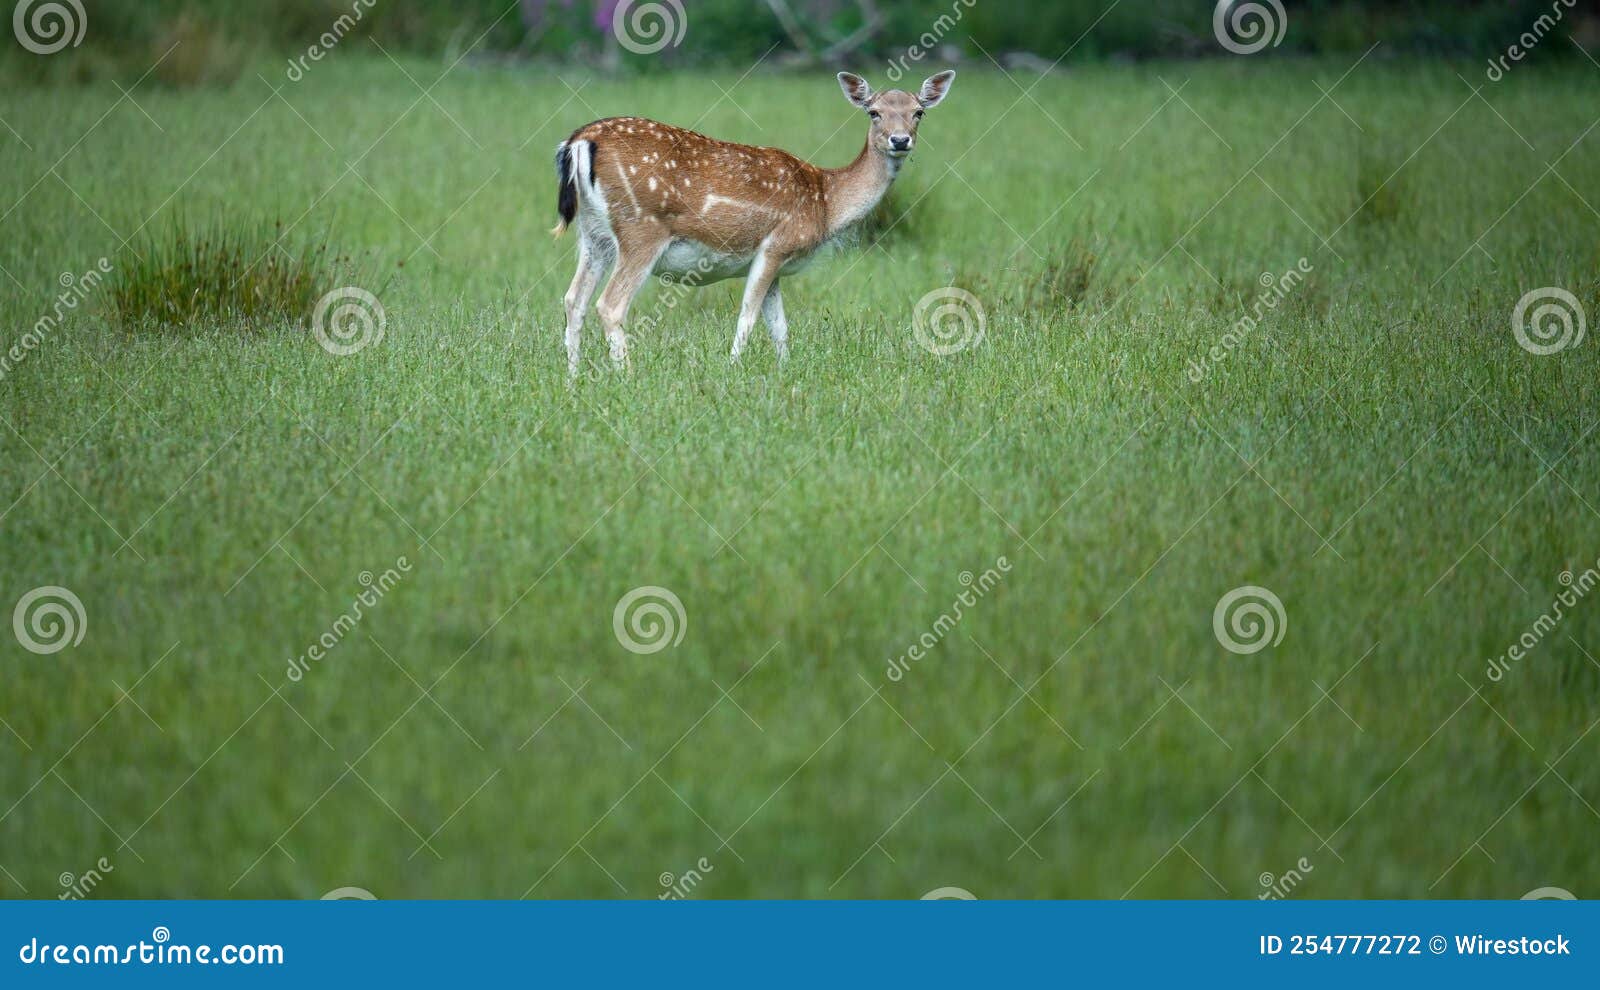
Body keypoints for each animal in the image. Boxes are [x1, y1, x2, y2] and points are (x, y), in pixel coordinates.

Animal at [550, 69, 956, 374]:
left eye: (919, 111)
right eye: (873, 111)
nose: (899, 140)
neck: (826, 201)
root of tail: (578, 142)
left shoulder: (776, 264)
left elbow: (779, 327)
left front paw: (783, 372)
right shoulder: (775, 245)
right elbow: (747, 316)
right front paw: (732, 371)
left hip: (593, 235)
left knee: (573, 299)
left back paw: (573, 377)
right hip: (641, 229)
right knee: (610, 304)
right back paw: (626, 376)